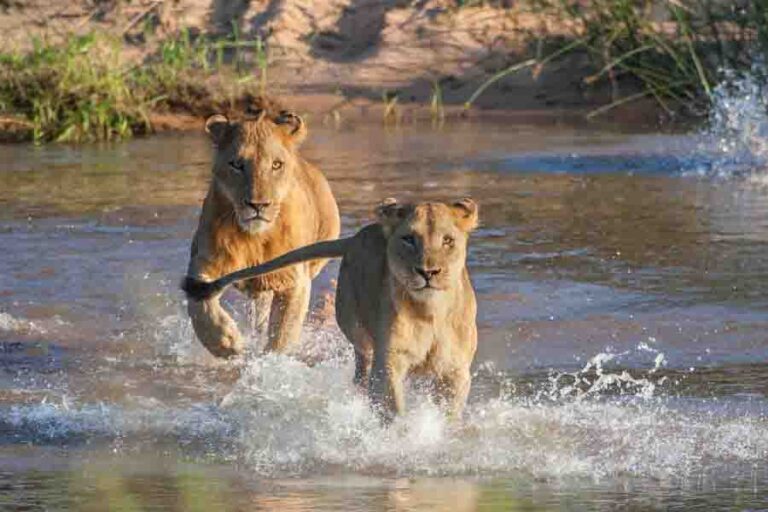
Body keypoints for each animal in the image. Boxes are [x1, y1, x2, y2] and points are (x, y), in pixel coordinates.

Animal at [183, 198, 479, 419]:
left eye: (448, 241)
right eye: (408, 239)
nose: (428, 272)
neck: (429, 311)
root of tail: (358, 235)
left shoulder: (456, 370)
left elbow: (449, 411)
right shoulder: (389, 361)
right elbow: (391, 404)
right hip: (355, 328)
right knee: (362, 366)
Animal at [186, 105, 340, 358]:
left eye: (276, 165)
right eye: (237, 165)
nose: (258, 205)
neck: (254, 239)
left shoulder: (294, 280)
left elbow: (283, 333)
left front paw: (273, 361)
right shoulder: (203, 263)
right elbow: (200, 307)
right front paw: (226, 342)